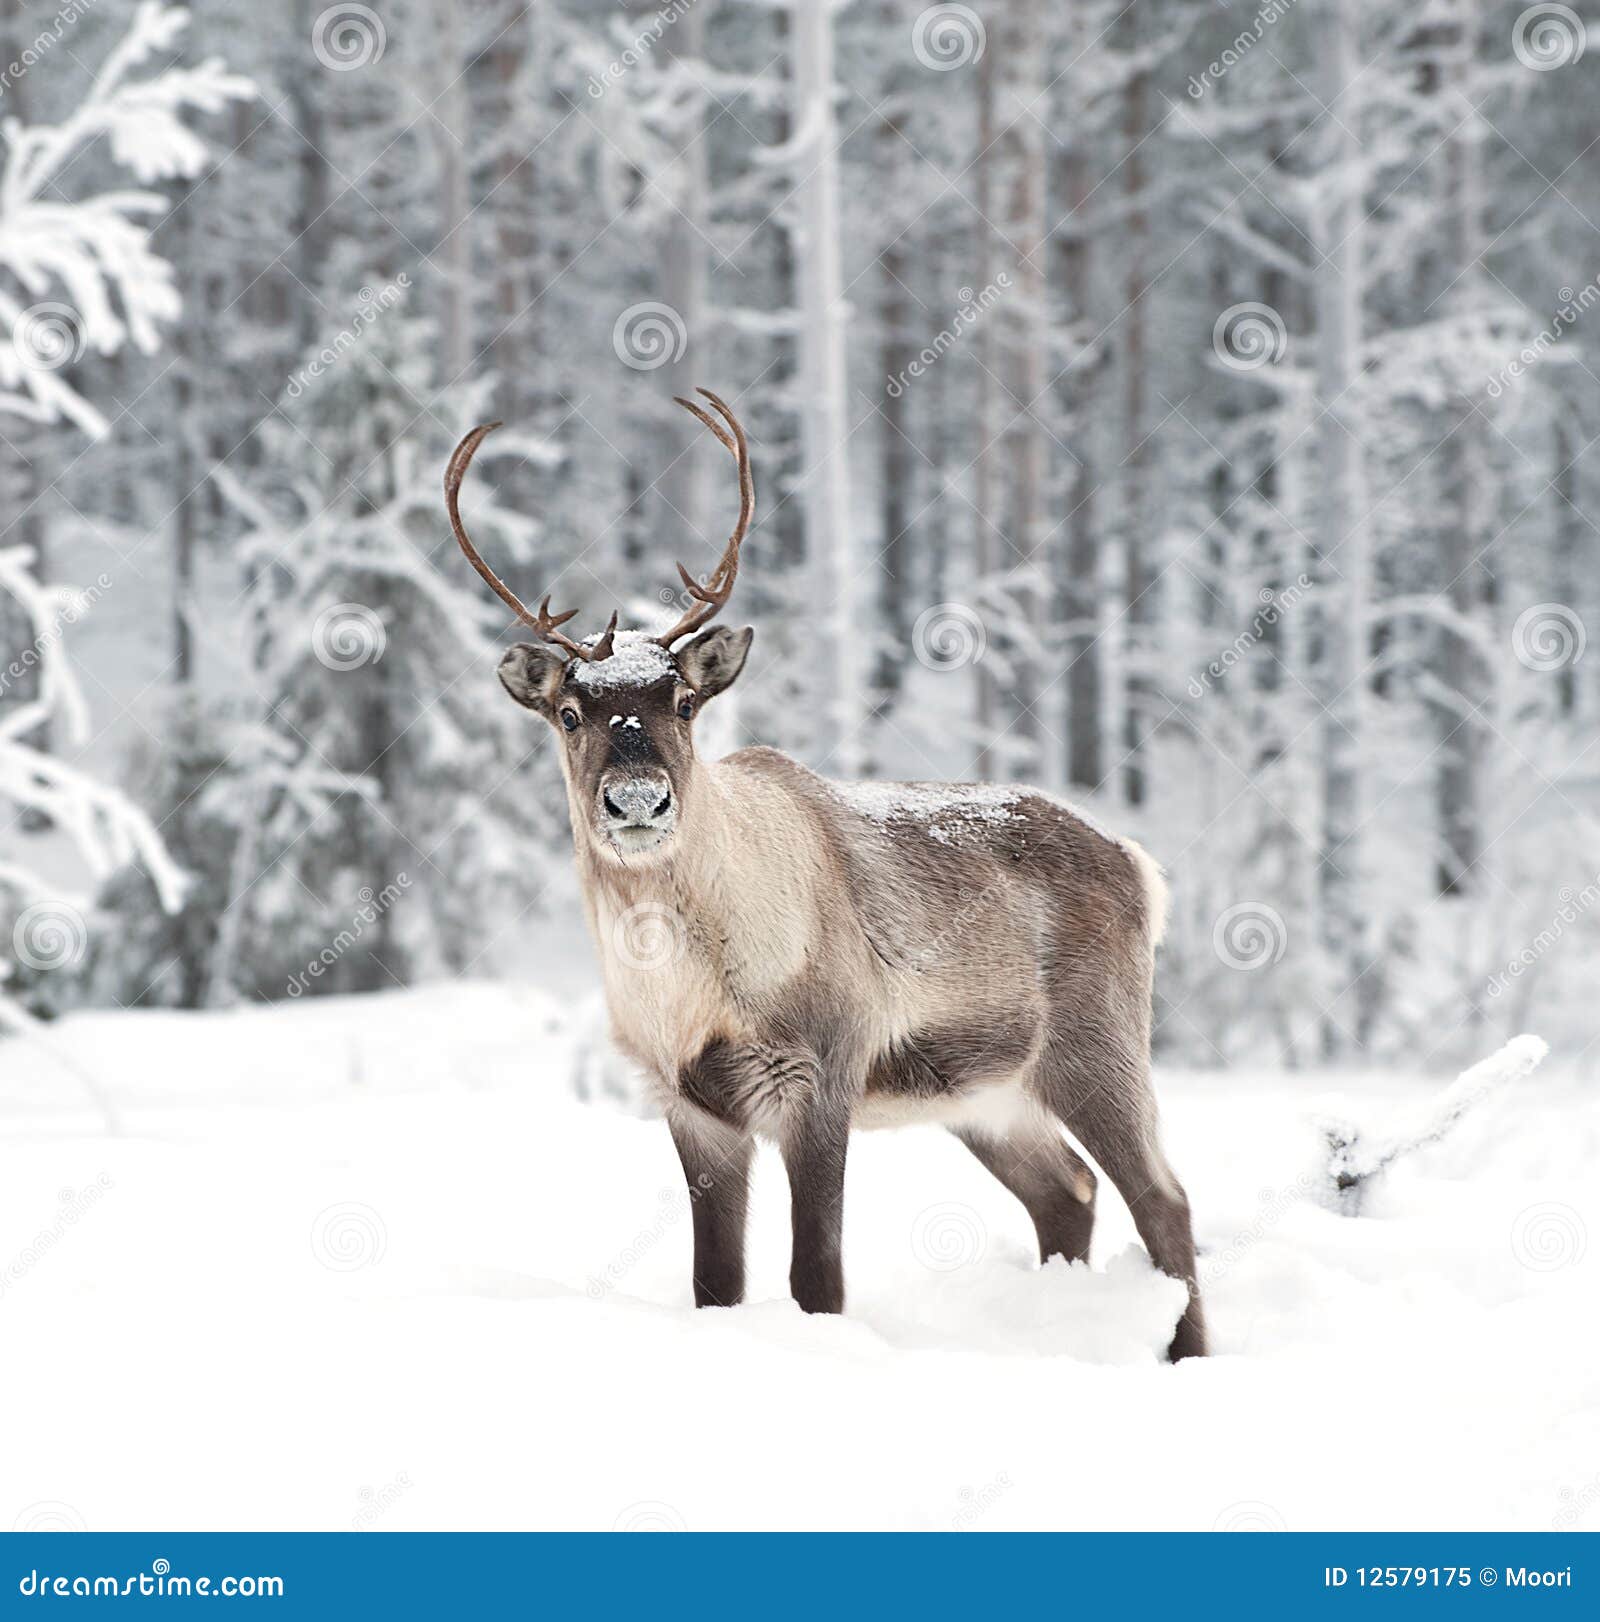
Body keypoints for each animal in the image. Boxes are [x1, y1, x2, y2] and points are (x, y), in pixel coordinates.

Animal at [445, 388, 1207, 1360]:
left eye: (684, 702)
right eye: (570, 712)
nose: (638, 801)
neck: (686, 986)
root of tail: (1139, 866)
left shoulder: (819, 1074)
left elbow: (818, 1278)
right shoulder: (691, 1105)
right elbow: (715, 1283)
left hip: (1096, 1046)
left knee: (1164, 1199)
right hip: (988, 1096)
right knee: (1068, 1191)